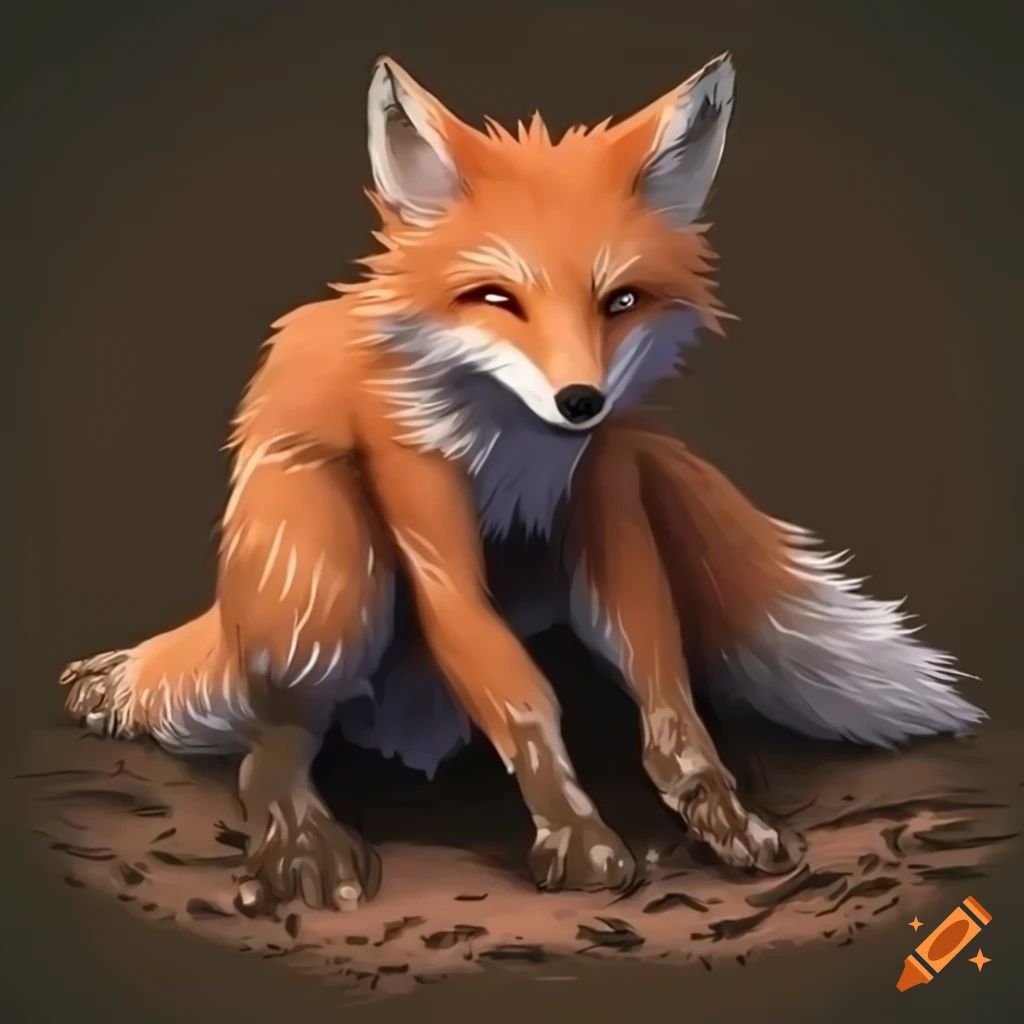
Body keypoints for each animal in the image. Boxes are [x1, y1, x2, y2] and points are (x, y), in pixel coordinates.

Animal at [60, 52, 985, 915]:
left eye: (620, 302)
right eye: (496, 298)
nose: (581, 400)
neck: (517, 450)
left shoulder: (609, 492)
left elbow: (666, 694)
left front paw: (714, 809)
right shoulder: (426, 517)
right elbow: (523, 699)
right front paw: (577, 838)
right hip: (326, 572)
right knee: (268, 751)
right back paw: (301, 841)